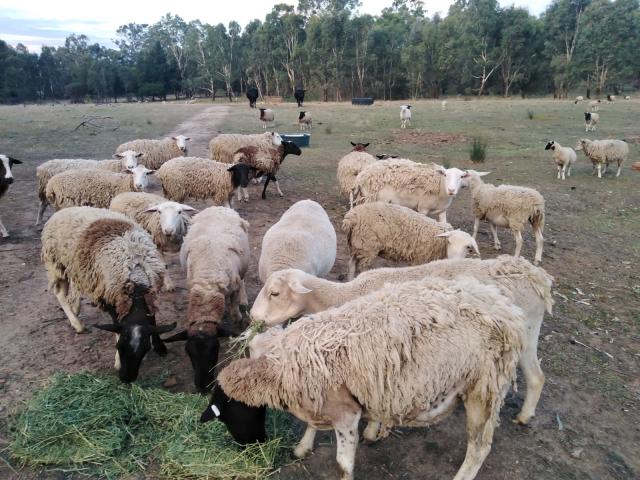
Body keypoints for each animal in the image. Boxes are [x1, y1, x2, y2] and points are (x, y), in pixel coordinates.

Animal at [40, 206, 176, 382]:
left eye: (145, 349)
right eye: (119, 347)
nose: (126, 378)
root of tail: (64, 209)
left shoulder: (150, 294)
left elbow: (152, 319)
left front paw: (160, 347)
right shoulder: (111, 296)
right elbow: (117, 323)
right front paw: (117, 362)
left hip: (73, 267)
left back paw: (76, 309)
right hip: (55, 262)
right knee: (59, 294)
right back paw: (76, 323)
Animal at [162, 206, 250, 391]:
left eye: (215, 350)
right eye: (188, 352)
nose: (203, 387)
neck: (207, 286)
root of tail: (217, 207)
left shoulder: (233, 286)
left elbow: (234, 310)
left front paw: (238, 319)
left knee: (243, 280)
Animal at [219, 276, 527, 480]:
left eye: (274, 293)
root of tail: (506, 309)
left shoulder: (346, 413)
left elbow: (343, 464)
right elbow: (312, 426)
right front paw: (302, 447)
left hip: (484, 388)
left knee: (479, 448)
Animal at [251, 254, 553, 425]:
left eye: (275, 293)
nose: (252, 317)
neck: (344, 295)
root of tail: (536, 277)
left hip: (526, 331)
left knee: (536, 377)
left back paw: (524, 416)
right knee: (537, 376)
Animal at [342, 202, 479, 279]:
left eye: (468, 247)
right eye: (449, 242)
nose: (453, 260)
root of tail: (351, 218)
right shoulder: (421, 258)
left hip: (357, 245)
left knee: (351, 265)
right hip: (368, 247)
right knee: (361, 268)